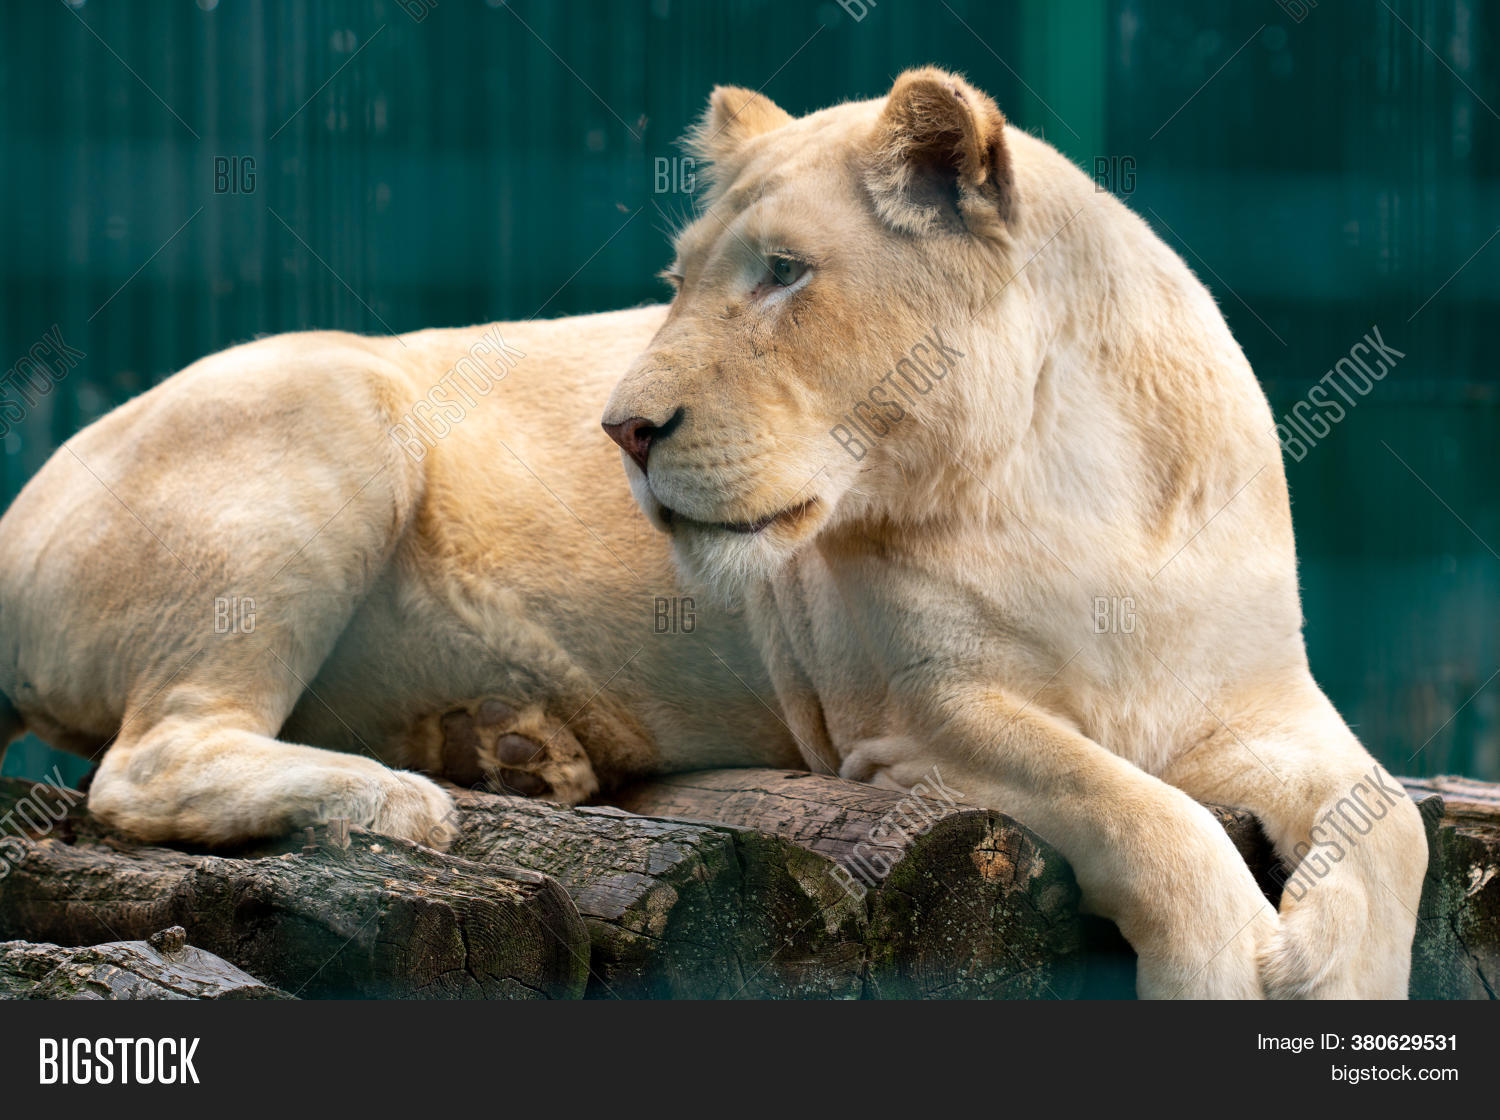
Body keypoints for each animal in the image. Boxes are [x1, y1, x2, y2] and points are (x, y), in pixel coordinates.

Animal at [598, 68, 1426, 999]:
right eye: (677, 282)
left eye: (784, 272)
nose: (623, 430)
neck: (1076, 487)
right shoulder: (928, 714)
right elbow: (1133, 805)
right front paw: (1226, 960)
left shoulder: (1260, 699)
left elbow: (1392, 816)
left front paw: (1332, 970)